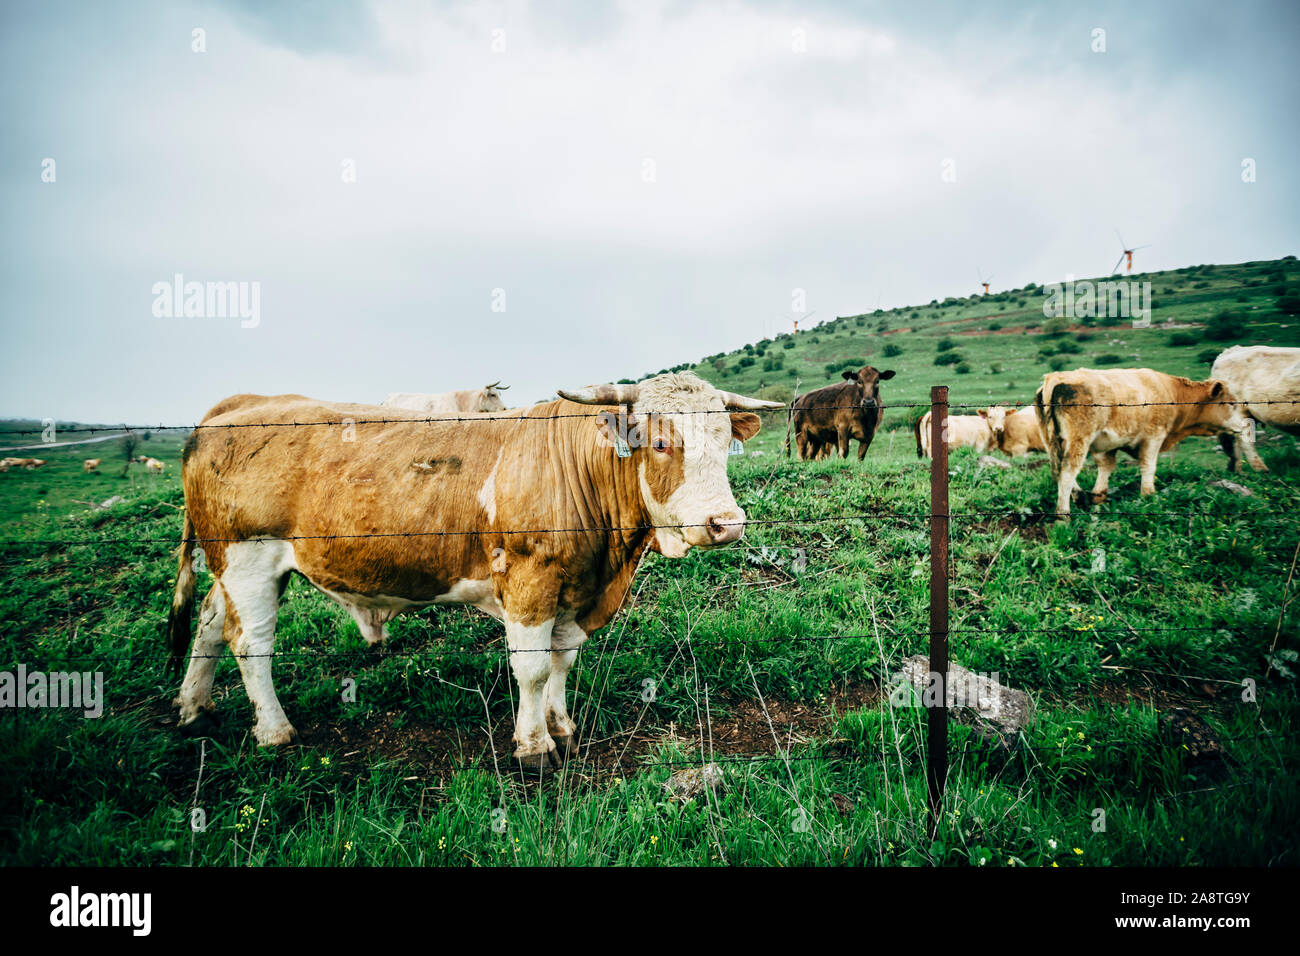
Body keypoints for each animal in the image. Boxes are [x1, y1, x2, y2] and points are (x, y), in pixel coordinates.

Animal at [1035, 368, 1250, 517]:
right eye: (1231, 403)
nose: (1245, 424)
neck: (1171, 392)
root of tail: (1055, 377)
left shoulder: (1105, 444)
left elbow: (1106, 467)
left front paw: (1098, 496)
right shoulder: (1154, 436)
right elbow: (1148, 466)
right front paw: (1148, 494)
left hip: (1052, 440)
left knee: (1059, 470)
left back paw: (1080, 496)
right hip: (1079, 439)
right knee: (1067, 472)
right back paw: (1063, 515)